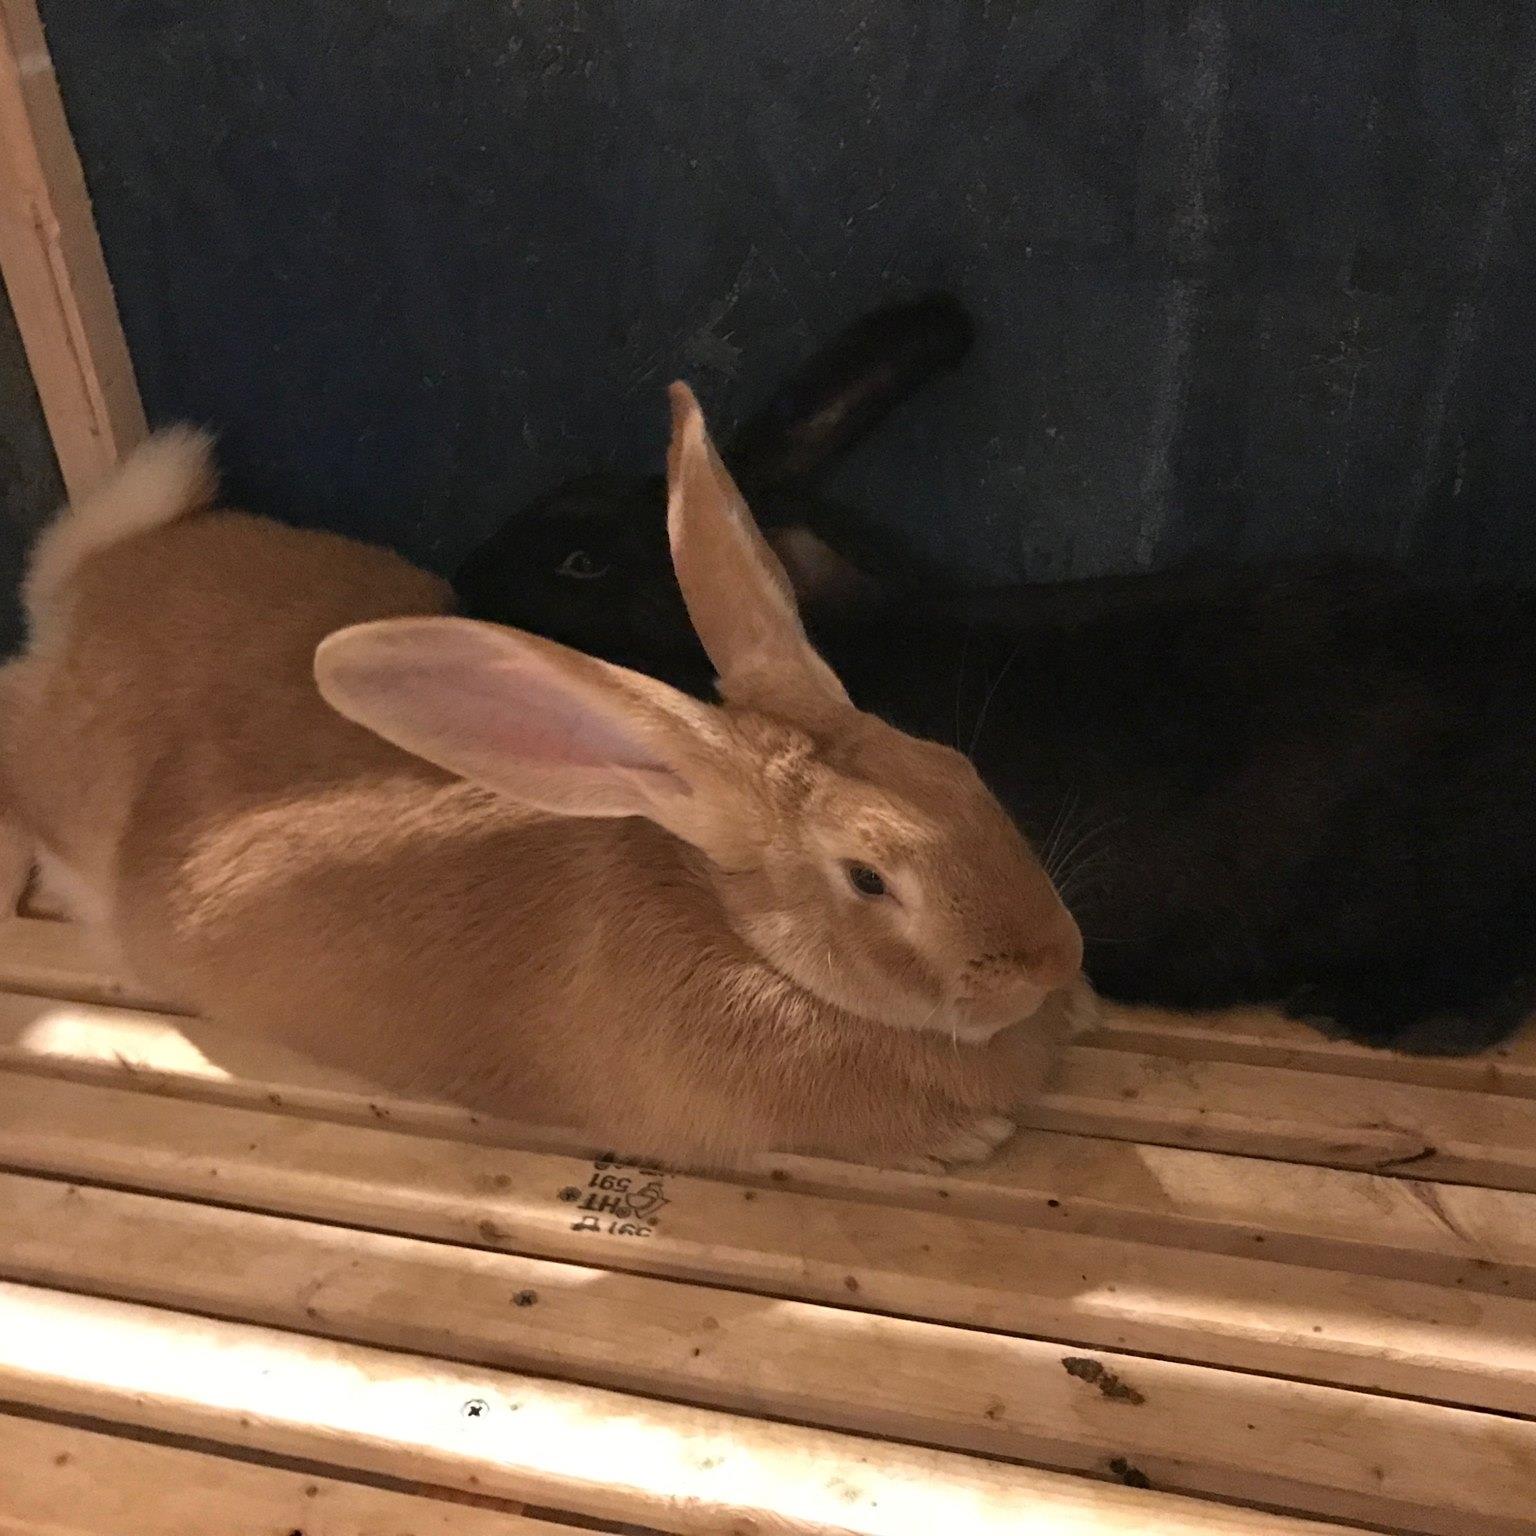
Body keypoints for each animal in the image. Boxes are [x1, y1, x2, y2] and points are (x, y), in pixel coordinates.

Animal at [0, 385, 1089, 1172]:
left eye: (960, 770)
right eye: (868, 878)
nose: (1053, 961)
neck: (746, 939)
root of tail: (83, 600)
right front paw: (971, 1132)